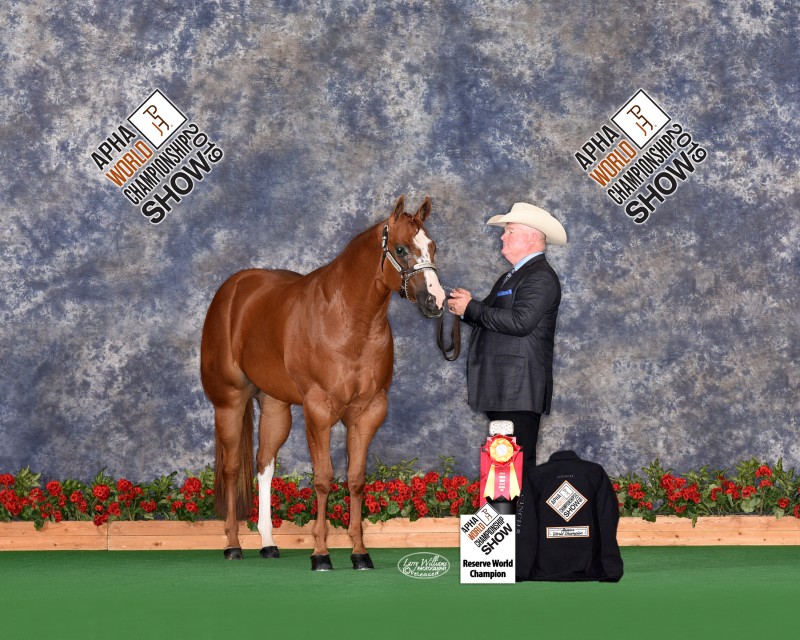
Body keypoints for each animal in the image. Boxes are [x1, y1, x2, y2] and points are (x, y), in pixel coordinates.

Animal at [200, 195, 447, 570]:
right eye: (402, 249)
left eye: (432, 247)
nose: (437, 301)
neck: (349, 321)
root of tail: (231, 291)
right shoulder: (318, 411)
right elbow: (323, 478)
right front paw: (320, 554)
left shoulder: (368, 412)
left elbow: (355, 480)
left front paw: (360, 553)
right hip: (229, 401)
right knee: (231, 468)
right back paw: (233, 545)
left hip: (275, 407)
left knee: (264, 465)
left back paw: (268, 543)